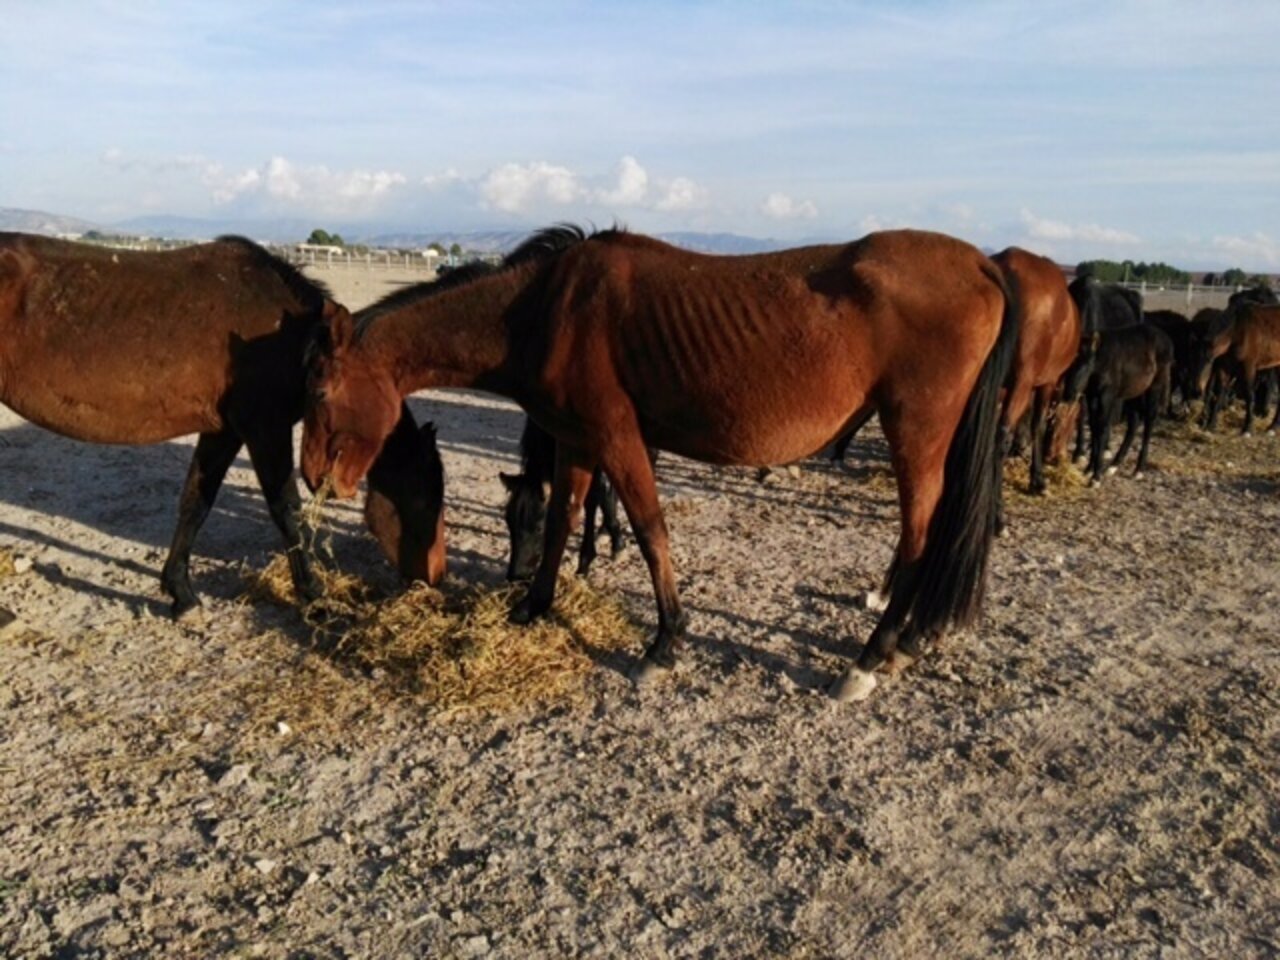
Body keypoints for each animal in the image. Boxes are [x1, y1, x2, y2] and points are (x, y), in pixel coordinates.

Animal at [0, 232, 445, 615]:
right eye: (424, 497)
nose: (432, 578)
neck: (285, 340)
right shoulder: (264, 429)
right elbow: (287, 510)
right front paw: (314, 596)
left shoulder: (224, 431)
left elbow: (196, 501)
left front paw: (181, 594)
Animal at [301, 225, 1017, 704]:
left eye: (319, 391)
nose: (312, 479)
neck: (543, 310)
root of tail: (982, 265)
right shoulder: (577, 442)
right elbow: (564, 522)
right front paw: (534, 605)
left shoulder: (618, 439)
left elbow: (651, 532)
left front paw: (665, 643)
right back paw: (908, 640)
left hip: (916, 432)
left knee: (920, 535)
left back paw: (871, 657)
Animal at [1063, 324, 1173, 485]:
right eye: (1068, 362)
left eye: (1087, 364)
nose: (1070, 393)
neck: (1101, 361)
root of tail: (1167, 340)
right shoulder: (1092, 397)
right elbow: (1094, 428)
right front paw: (1089, 470)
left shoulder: (1107, 396)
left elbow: (1102, 429)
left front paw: (1096, 477)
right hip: (1134, 394)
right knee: (1134, 424)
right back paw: (1113, 466)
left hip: (1154, 388)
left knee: (1149, 423)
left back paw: (1138, 470)